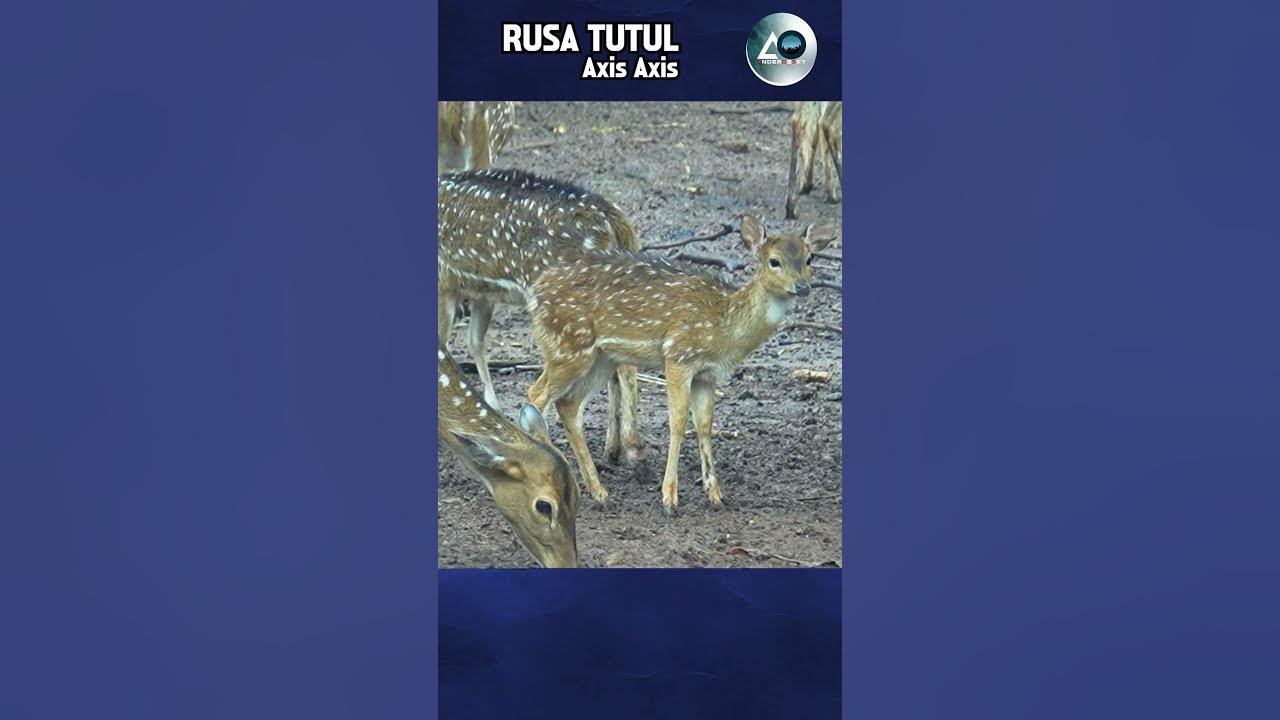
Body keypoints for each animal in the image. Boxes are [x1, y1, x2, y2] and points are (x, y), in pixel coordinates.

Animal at [438, 168, 646, 467]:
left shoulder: (445, 282)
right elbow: (475, 341)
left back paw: (629, 445)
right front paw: (492, 408)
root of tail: (615, 222)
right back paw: (613, 449)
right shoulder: (482, 293)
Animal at [526, 215, 837, 513]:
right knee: (536, 395)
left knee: (567, 404)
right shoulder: (679, 354)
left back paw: (601, 495)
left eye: (809, 259)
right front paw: (669, 500)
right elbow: (677, 422)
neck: (724, 326)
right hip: (569, 346)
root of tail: (535, 293)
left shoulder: (708, 374)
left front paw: (715, 496)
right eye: (774, 261)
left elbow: (705, 425)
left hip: (601, 359)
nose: (802, 287)